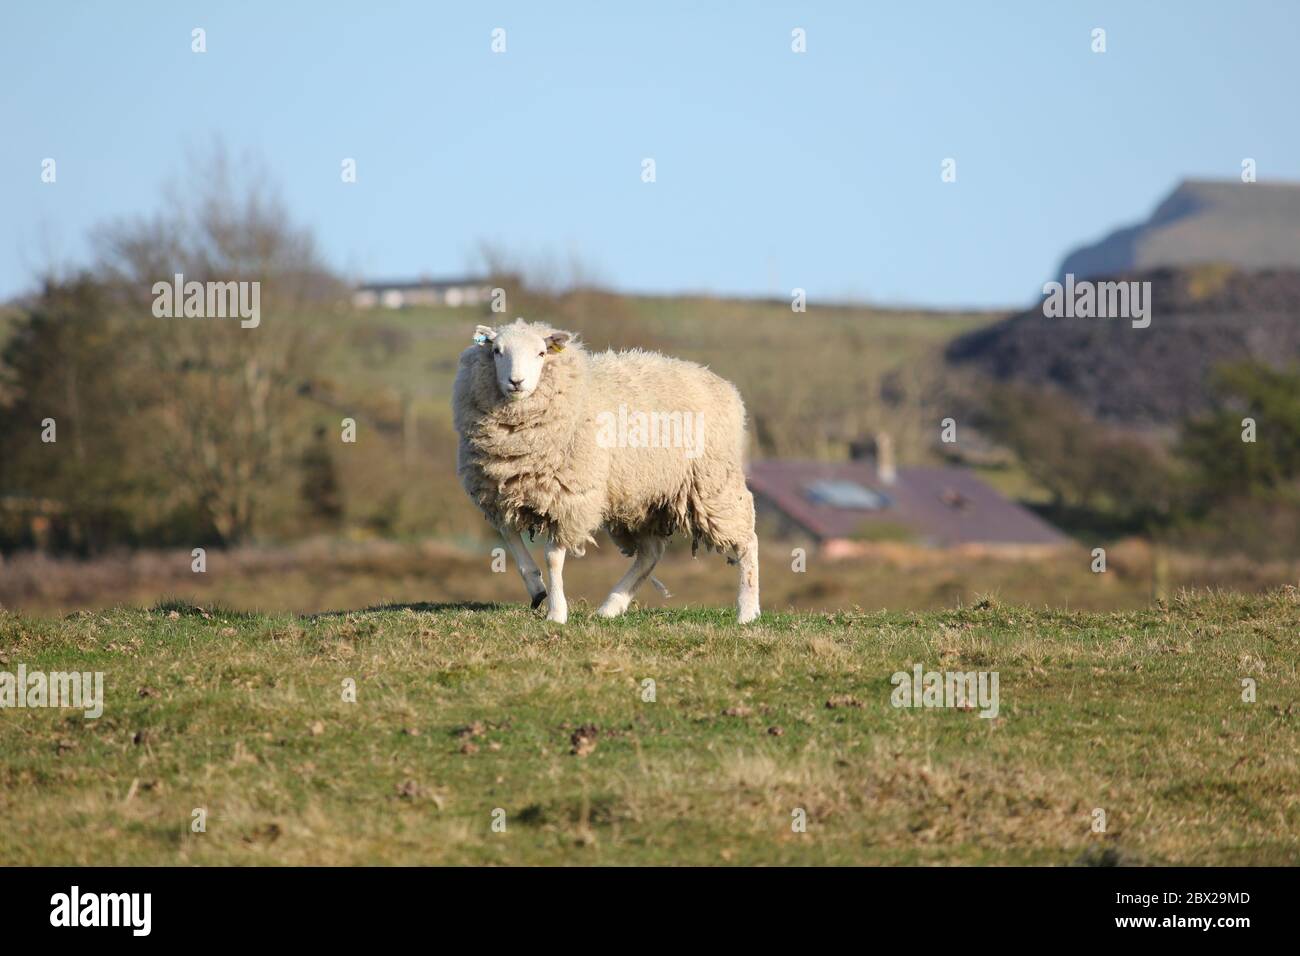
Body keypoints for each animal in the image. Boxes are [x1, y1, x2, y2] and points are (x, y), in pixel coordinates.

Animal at [452, 318, 759, 624]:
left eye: (541, 353)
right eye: (497, 351)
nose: (516, 382)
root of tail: (722, 384)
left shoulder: (569, 498)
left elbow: (553, 557)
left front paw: (556, 612)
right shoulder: (499, 492)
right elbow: (509, 536)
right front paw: (536, 587)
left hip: (712, 484)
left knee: (747, 540)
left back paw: (747, 610)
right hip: (641, 497)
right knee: (650, 554)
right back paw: (611, 606)